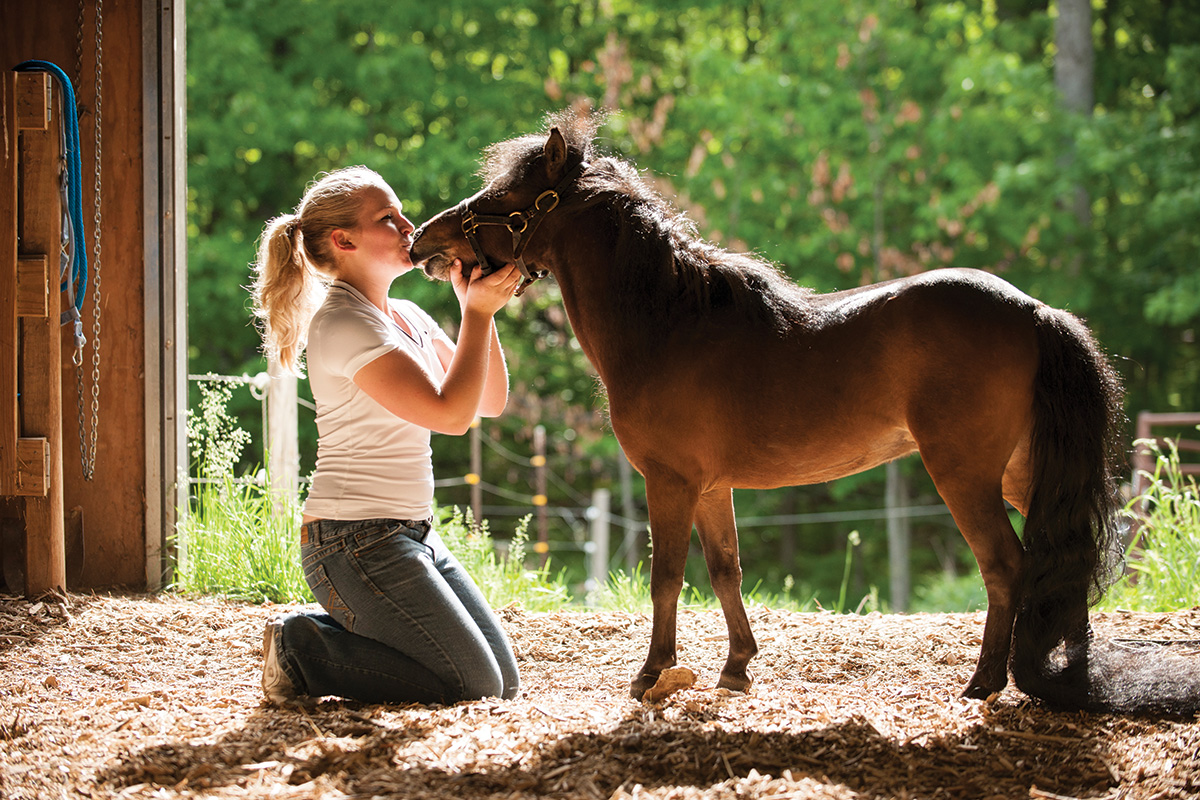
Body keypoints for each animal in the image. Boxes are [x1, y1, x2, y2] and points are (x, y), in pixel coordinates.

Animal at [410, 111, 1200, 714]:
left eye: (507, 192)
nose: (424, 238)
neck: (669, 322)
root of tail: (1034, 311)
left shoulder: (670, 483)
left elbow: (667, 576)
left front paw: (651, 674)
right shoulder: (712, 488)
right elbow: (725, 570)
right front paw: (736, 668)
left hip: (964, 474)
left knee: (1007, 567)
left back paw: (983, 685)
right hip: (1019, 474)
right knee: (1055, 562)